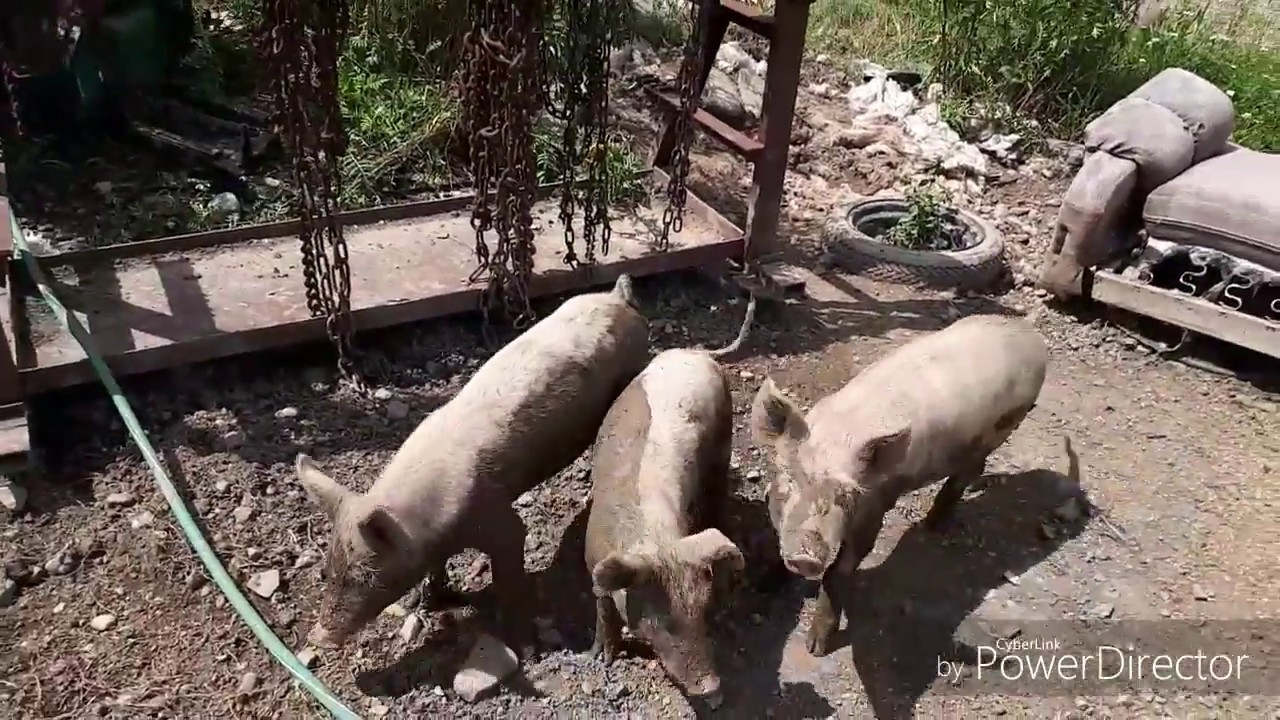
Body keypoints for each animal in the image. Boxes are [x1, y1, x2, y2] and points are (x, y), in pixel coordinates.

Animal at [294, 274, 649, 654]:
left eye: (365, 576)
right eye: (328, 572)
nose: (319, 637)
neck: (424, 523)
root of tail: (617, 297)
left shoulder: (498, 519)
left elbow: (509, 571)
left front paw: (522, 644)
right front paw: (424, 602)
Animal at [583, 296, 757, 704]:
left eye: (703, 610)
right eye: (663, 621)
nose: (712, 686)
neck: (658, 539)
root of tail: (694, 351)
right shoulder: (593, 562)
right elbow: (603, 610)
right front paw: (602, 658)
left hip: (724, 434)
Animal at [749, 314, 1048, 657]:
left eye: (847, 495)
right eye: (790, 478)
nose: (806, 557)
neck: (838, 435)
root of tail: (1027, 330)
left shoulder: (875, 509)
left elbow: (839, 572)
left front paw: (816, 648)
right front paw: (760, 584)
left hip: (1007, 425)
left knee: (970, 468)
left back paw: (933, 525)